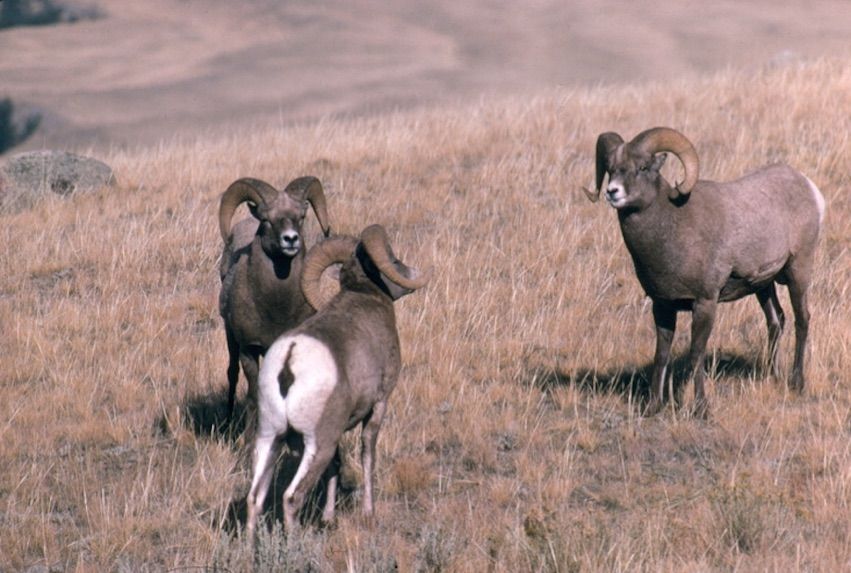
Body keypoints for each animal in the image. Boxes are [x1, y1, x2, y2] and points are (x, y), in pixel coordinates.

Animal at [218, 176, 331, 422]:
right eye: (266, 220)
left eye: (301, 217)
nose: (290, 239)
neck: (276, 308)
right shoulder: (249, 350)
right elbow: (253, 396)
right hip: (230, 336)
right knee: (232, 373)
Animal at [244, 224, 430, 539]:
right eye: (393, 258)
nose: (411, 274)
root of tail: (289, 361)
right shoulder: (379, 403)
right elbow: (367, 454)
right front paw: (368, 512)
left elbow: (336, 467)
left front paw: (328, 517)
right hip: (317, 443)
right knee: (292, 497)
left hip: (270, 436)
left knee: (254, 498)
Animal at [583, 126, 824, 417]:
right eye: (610, 168)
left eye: (642, 167)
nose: (612, 192)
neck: (674, 227)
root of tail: (809, 187)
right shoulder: (662, 306)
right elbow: (661, 354)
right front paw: (653, 406)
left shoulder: (705, 303)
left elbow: (696, 354)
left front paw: (700, 407)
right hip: (762, 286)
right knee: (776, 321)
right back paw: (773, 377)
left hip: (799, 271)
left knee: (802, 319)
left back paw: (797, 383)